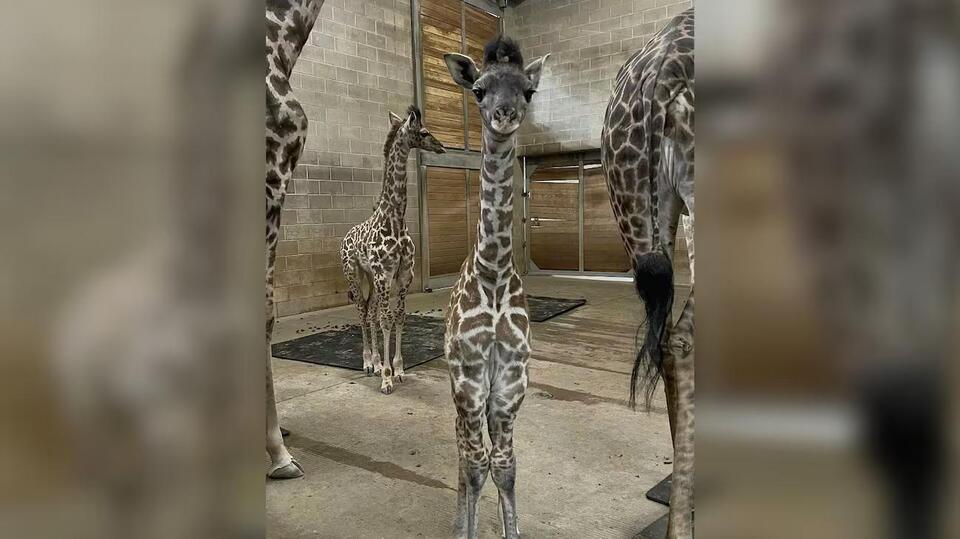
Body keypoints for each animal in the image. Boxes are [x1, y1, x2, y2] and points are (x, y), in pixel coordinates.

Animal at [339, 106, 445, 395]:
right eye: (424, 132)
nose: (441, 146)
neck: (395, 218)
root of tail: (345, 237)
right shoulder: (385, 274)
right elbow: (386, 319)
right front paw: (386, 378)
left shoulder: (403, 275)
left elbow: (398, 317)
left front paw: (397, 370)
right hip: (355, 275)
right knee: (363, 312)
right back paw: (368, 364)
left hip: (372, 279)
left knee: (371, 311)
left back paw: (375, 364)